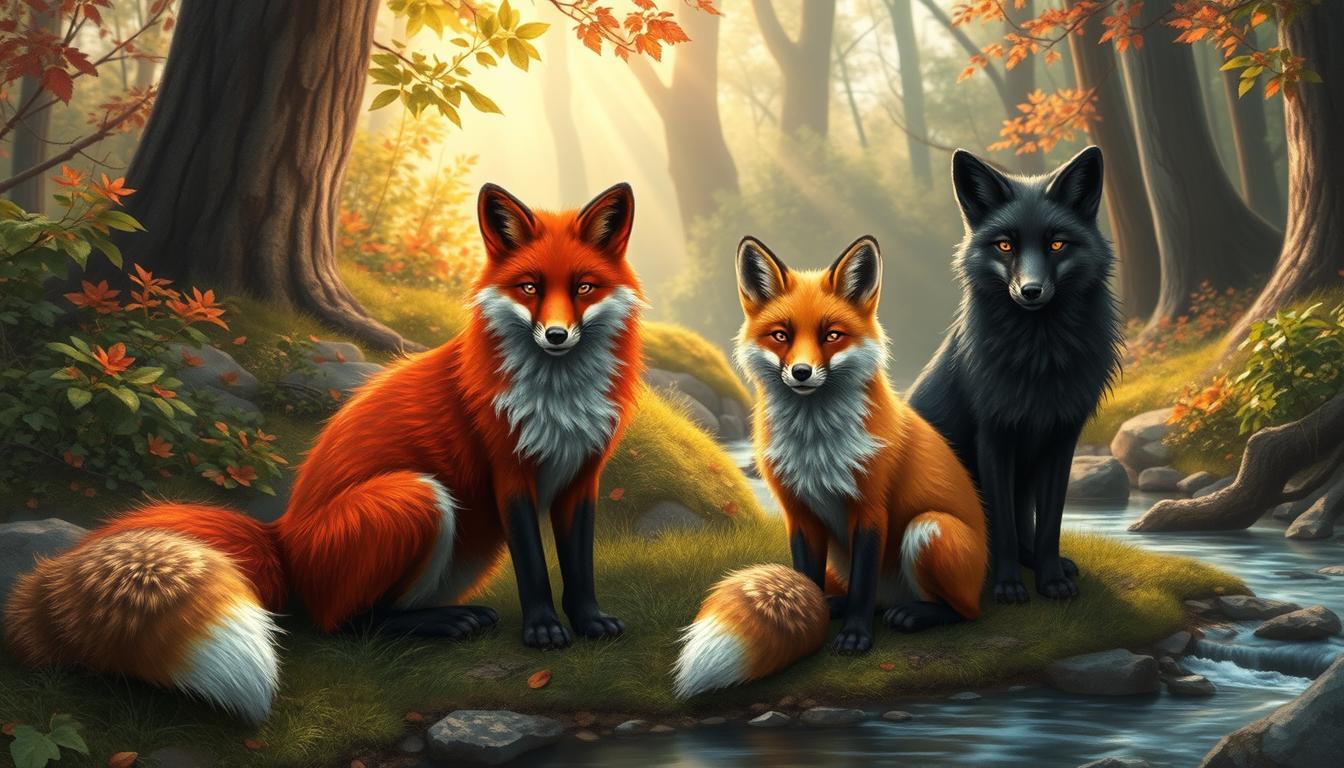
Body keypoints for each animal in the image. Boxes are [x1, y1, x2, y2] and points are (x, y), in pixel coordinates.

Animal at [3, 182, 645, 722]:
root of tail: (283, 538)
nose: (556, 336)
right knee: (345, 622)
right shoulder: (508, 472)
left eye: (583, 287)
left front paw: (588, 621)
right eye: (530, 287)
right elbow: (535, 567)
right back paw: (442, 623)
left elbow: (579, 561)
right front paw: (543, 631)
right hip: (415, 494)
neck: (556, 400)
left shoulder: (582, 476)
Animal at [672, 235, 987, 698]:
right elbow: (806, 579)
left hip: (929, 528)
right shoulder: (799, 512)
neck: (816, 449)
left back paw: (915, 614)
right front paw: (811, 627)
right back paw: (837, 604)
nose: (801, 373)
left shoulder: (870, 509)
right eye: (781, 335)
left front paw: (855, 636)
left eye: (832, 335)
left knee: (963, 611)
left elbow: (862, 584)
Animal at [907, 146, 1123, 604]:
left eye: (1056, 244)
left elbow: (1050, 525)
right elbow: (1002, 526)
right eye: (1005, 245)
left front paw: (1052, 580)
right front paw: (1007, 585)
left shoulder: (1062, 440)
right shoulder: (994, 438)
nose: (1031, 291)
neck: (1040, 359)